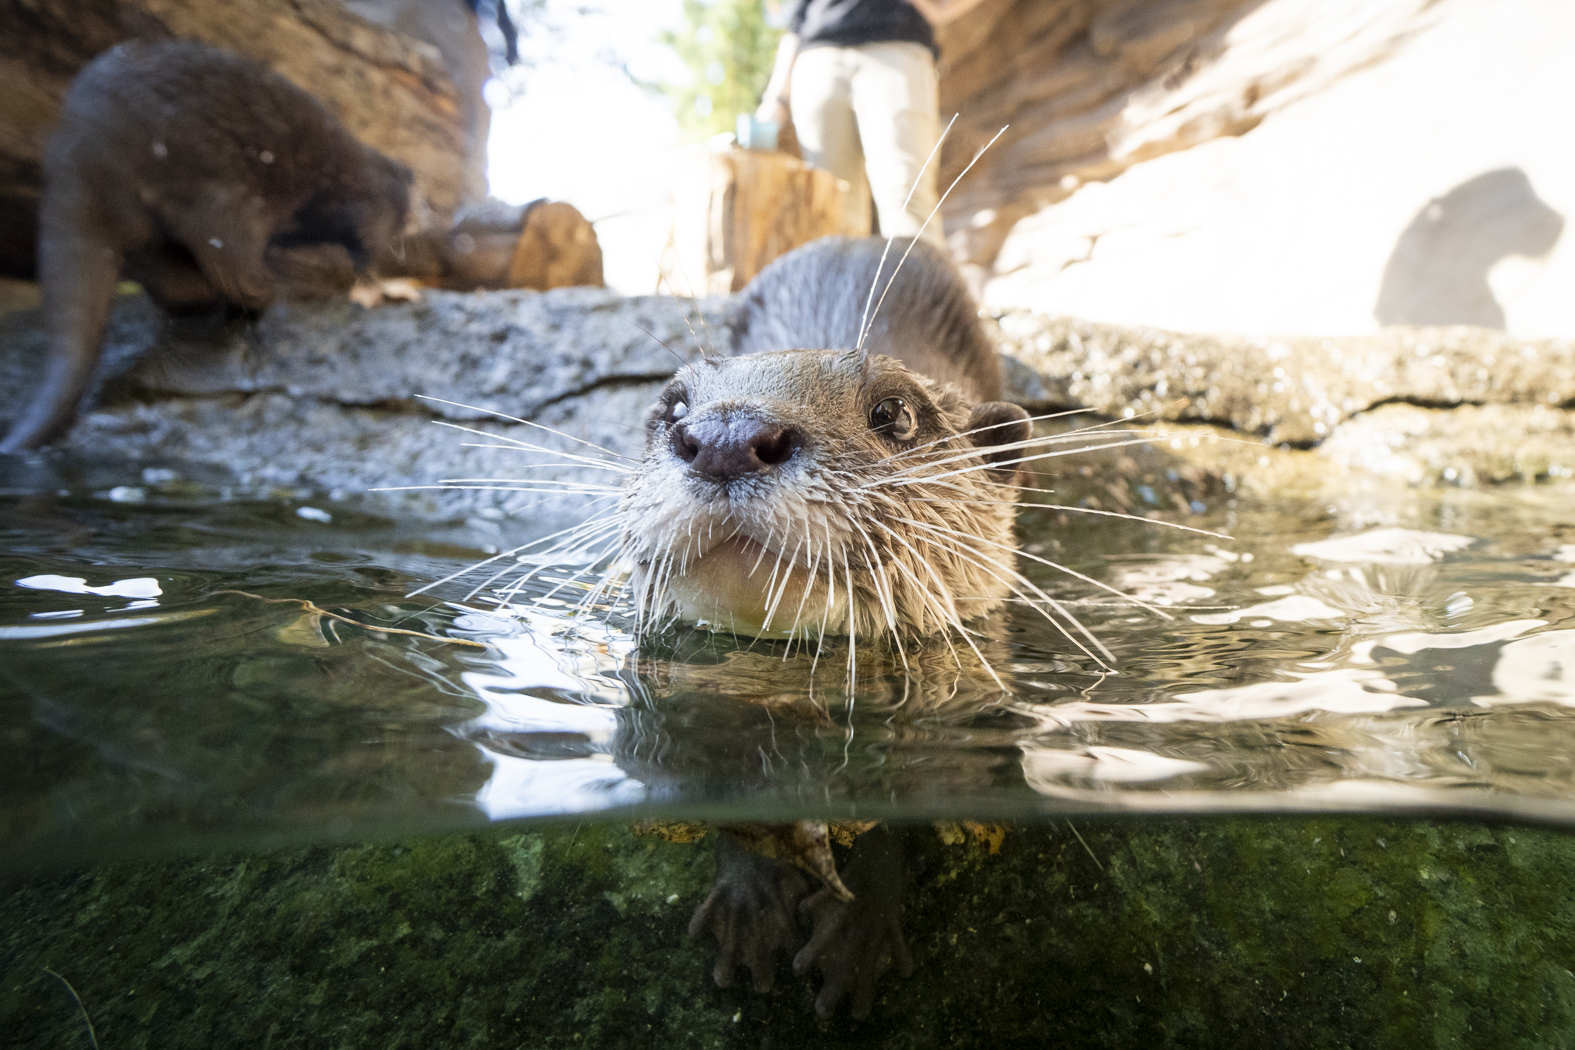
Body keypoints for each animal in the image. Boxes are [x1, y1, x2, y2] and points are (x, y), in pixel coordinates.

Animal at [0, 39, 412, 454]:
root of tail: (83, 150)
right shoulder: (368, 199)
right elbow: (367, 237)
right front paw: (366, 279)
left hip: (144, 226)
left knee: (176, 282)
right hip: (213, 183)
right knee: (238, 266)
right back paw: (283, 292)